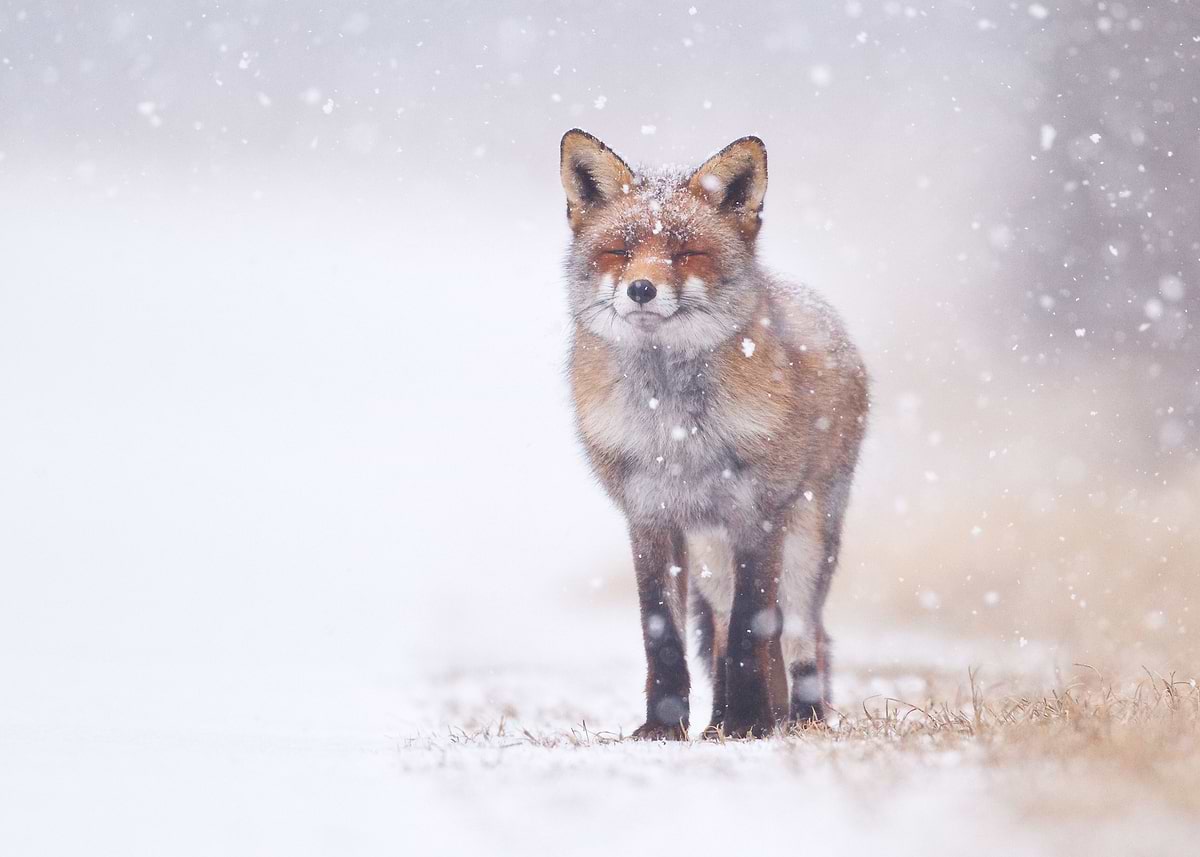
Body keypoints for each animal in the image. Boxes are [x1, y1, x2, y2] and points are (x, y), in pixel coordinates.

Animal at [559, 129, 869, 739]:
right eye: (620, 252)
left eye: (686, 254)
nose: (641, 289)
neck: (675, 430)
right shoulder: (650, 517)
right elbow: (664, 634)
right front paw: (664, 728)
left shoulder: (756, 514)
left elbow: (755, 628)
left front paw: (750, 723)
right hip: (709, 554)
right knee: (724, 629)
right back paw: (720, 720)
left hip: (805, 540)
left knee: (802, 636)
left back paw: (797, 719)